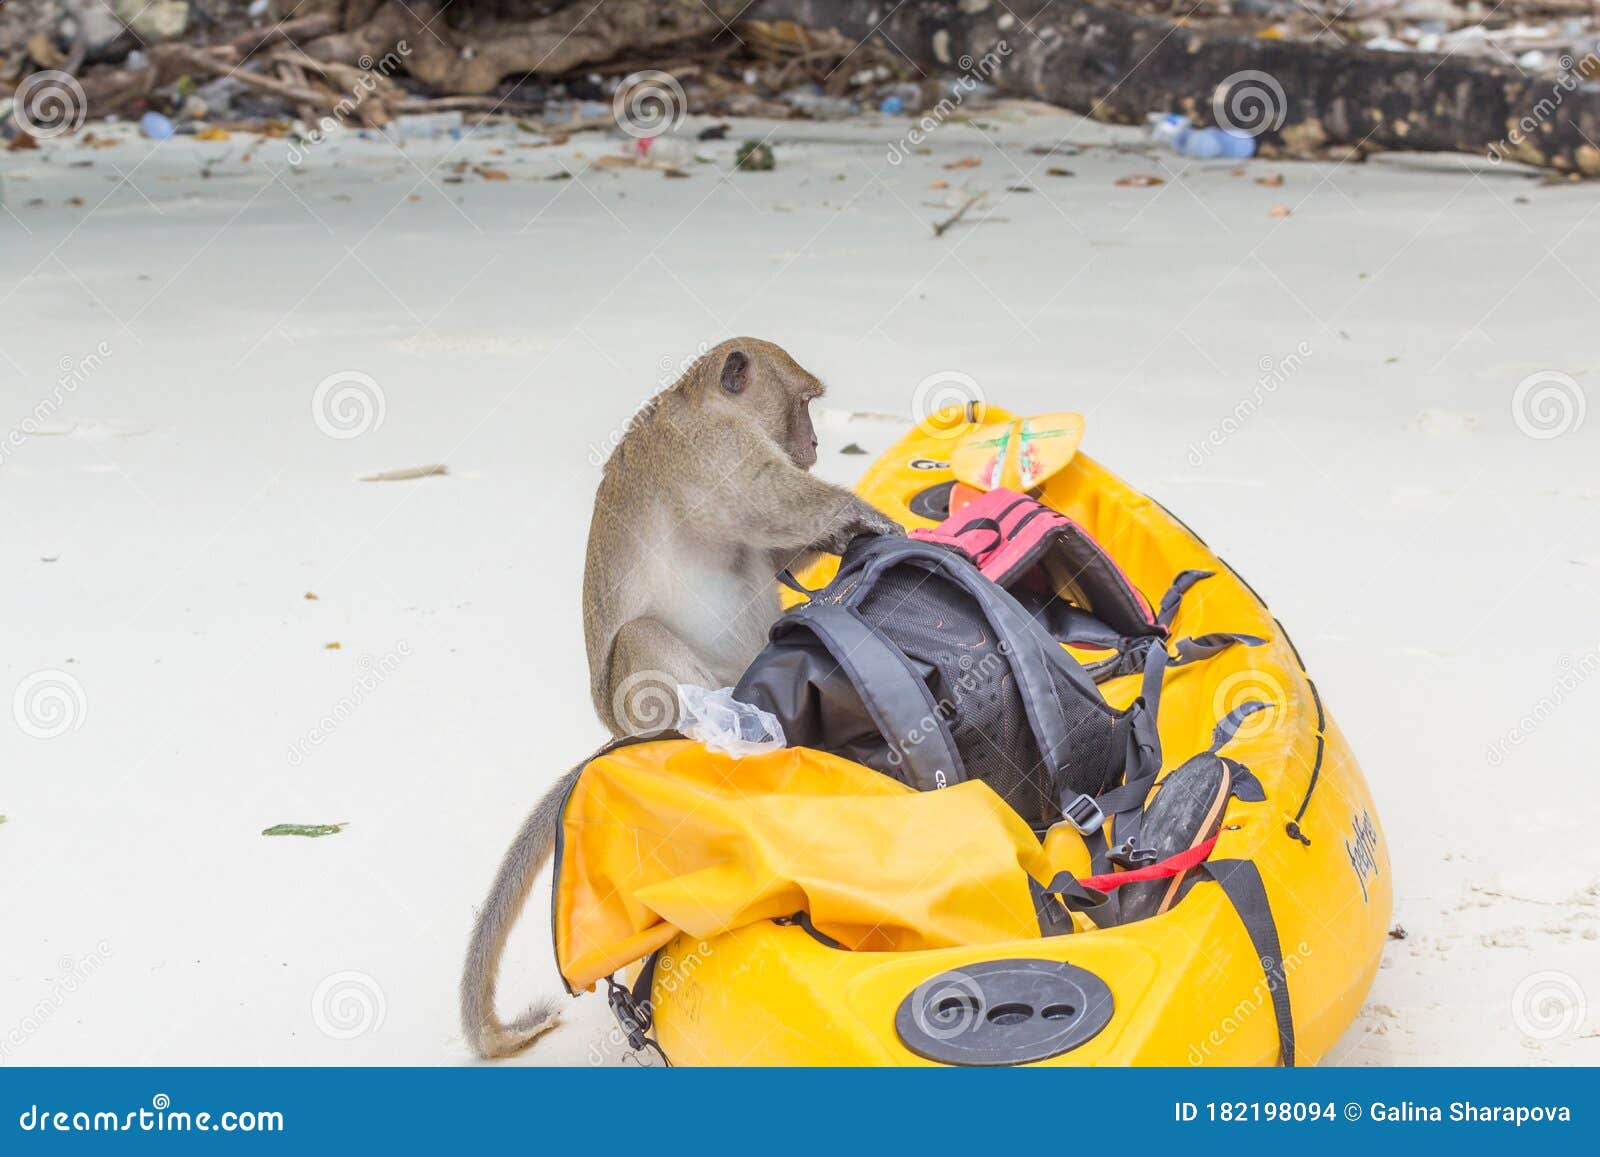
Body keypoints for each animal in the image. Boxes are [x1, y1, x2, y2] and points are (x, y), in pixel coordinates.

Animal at [460, 338, 902, 1060]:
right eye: (804, 403)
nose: (812, 442)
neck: (700, 402)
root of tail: (621, 736)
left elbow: (773, 550)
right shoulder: (716, 450)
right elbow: (775, 501)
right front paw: (866, 515)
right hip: (648, 700)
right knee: (642, 636)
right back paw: (713, 727)